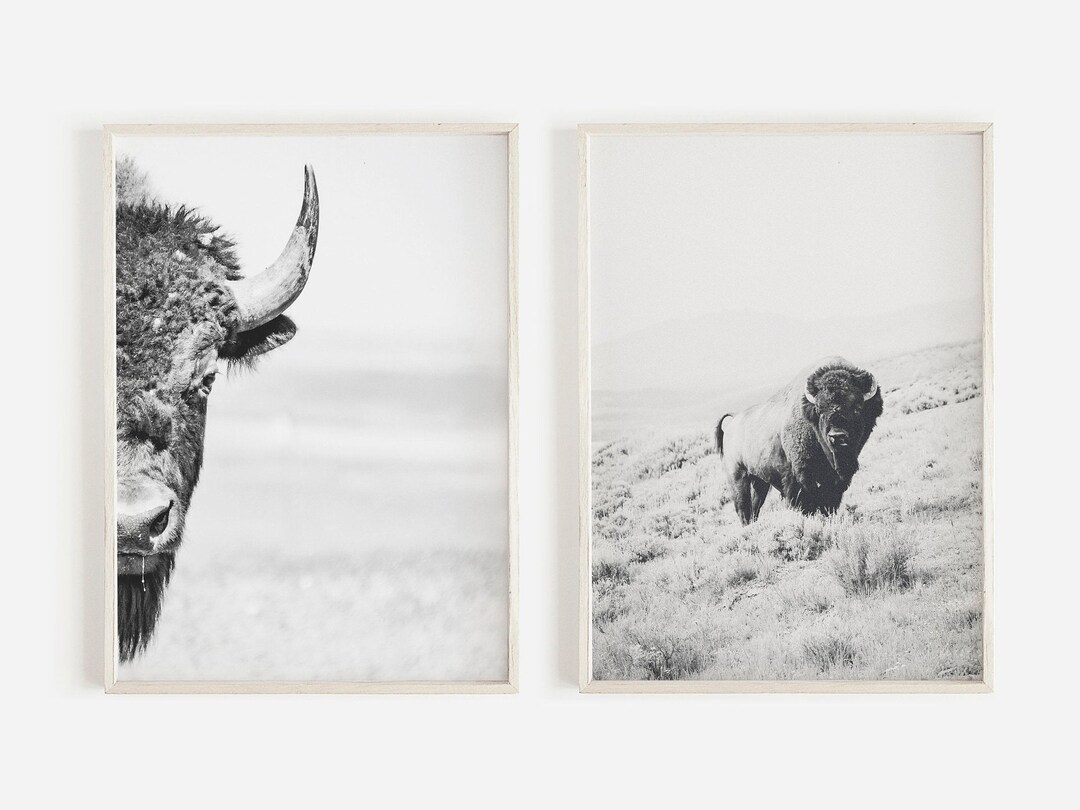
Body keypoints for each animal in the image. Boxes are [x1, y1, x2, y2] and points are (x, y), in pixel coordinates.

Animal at [715, 358, 883, 524]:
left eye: (857, 408)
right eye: (819, 410)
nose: (837, 435)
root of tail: (733, 421)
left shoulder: (835, 481)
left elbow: (829, 503)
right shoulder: (799, 477)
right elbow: (805, 504)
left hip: (759, 481)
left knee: (755, 507)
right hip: (738, 477)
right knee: (743, 508)